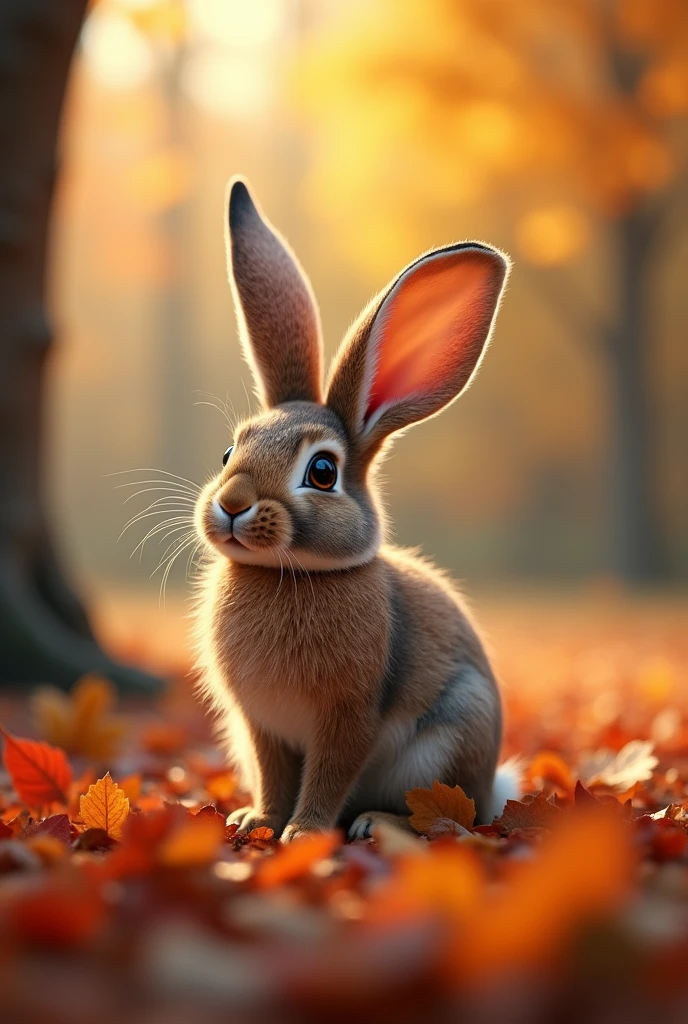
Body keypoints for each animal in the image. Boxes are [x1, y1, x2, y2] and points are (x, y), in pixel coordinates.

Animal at [193, 176, 519, 843]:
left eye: (322, 472)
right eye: (229, 451)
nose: (232, 504)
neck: (290, 575)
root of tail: (493, 786)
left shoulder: (349, 718)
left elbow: (328, 773)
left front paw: (303, 832)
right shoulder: (261, 724)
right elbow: (272, 773)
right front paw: (258, 820)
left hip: (452, 737)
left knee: (454, 816)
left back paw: (375, 822)